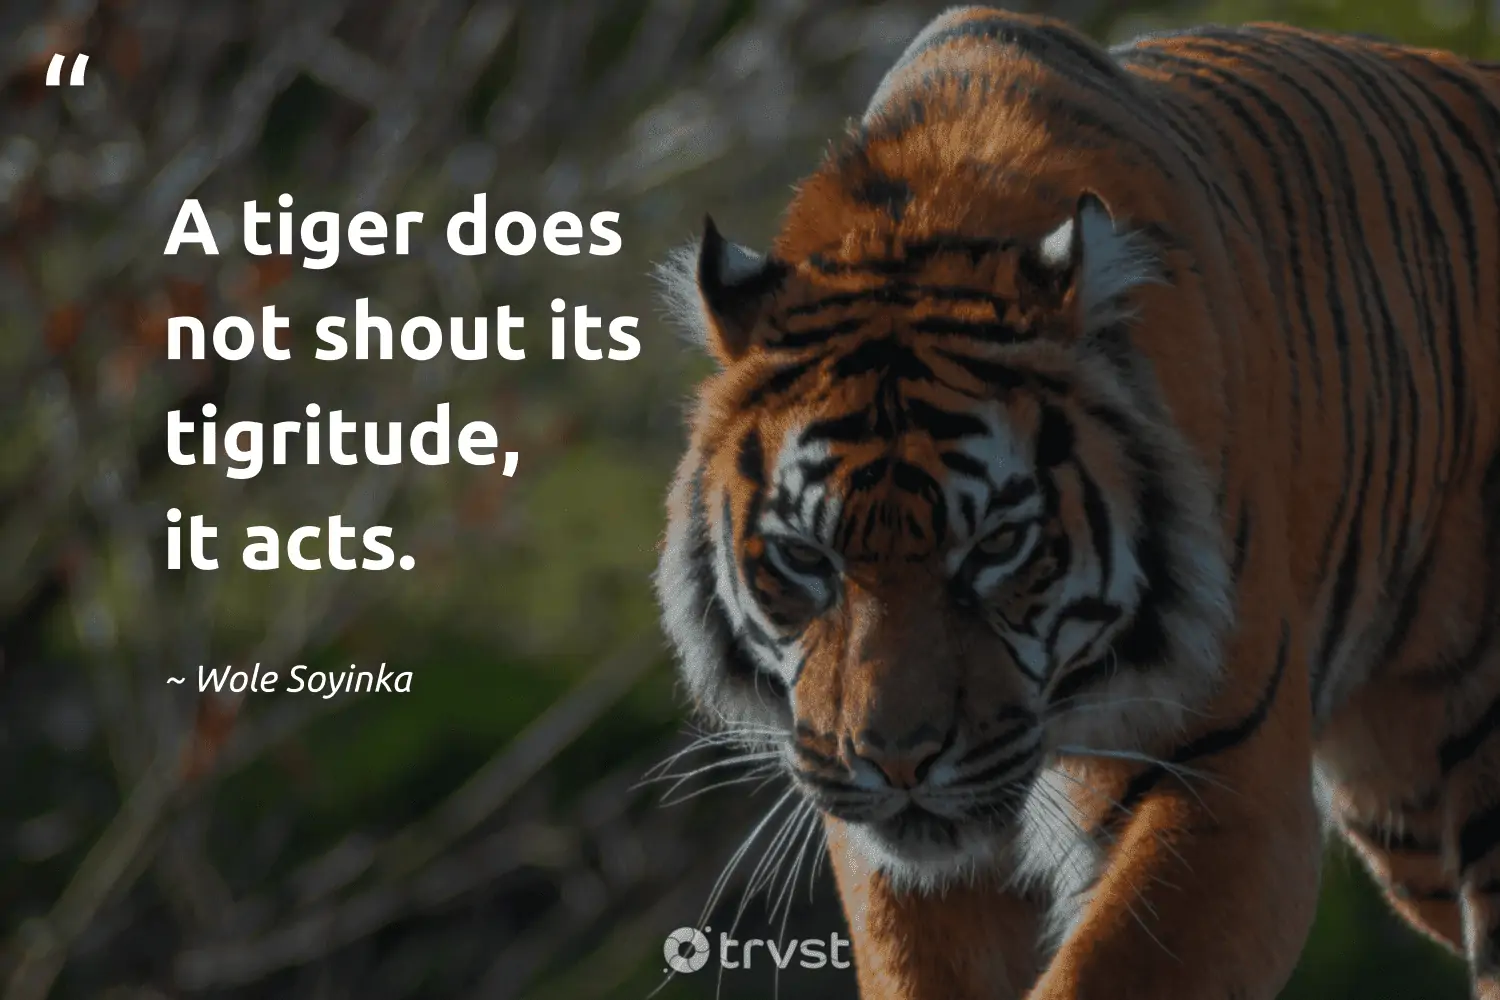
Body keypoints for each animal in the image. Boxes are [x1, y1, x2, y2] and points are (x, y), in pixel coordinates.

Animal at [653, 6, 1500, 999]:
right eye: (804, 558)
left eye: (994, 547)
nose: (896, 762)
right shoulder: (881, 835)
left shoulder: (1228, 782)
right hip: (1401, 811)